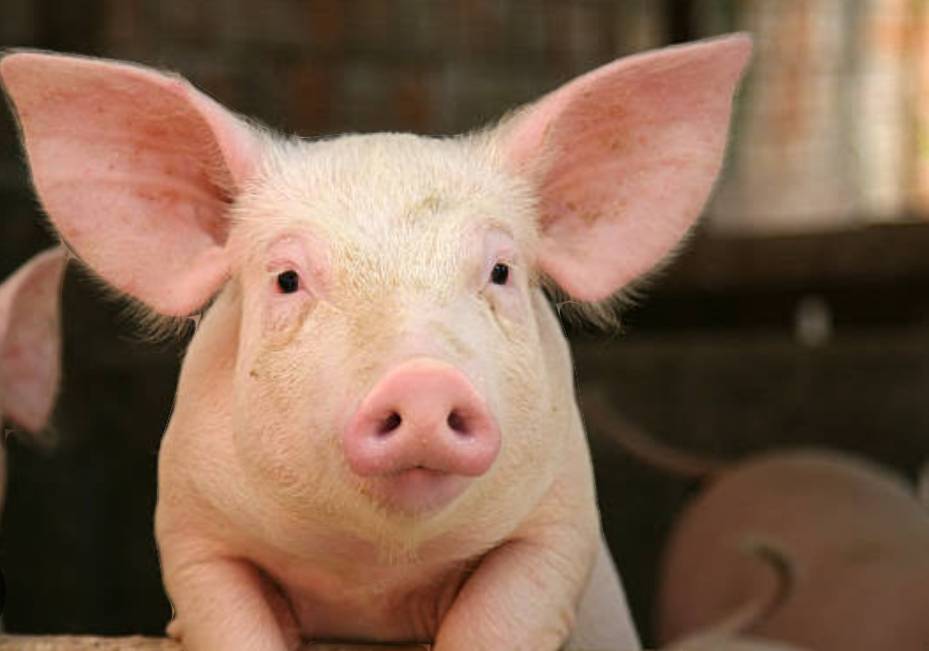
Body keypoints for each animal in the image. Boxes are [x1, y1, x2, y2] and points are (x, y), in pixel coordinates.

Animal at [0, 35, 750, 651]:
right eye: (287, 278)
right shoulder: (191, 528)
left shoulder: (560, 522)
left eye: (500, 271)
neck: (373, 576)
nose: (422, 381)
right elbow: (228, 616)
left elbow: (499, 616)